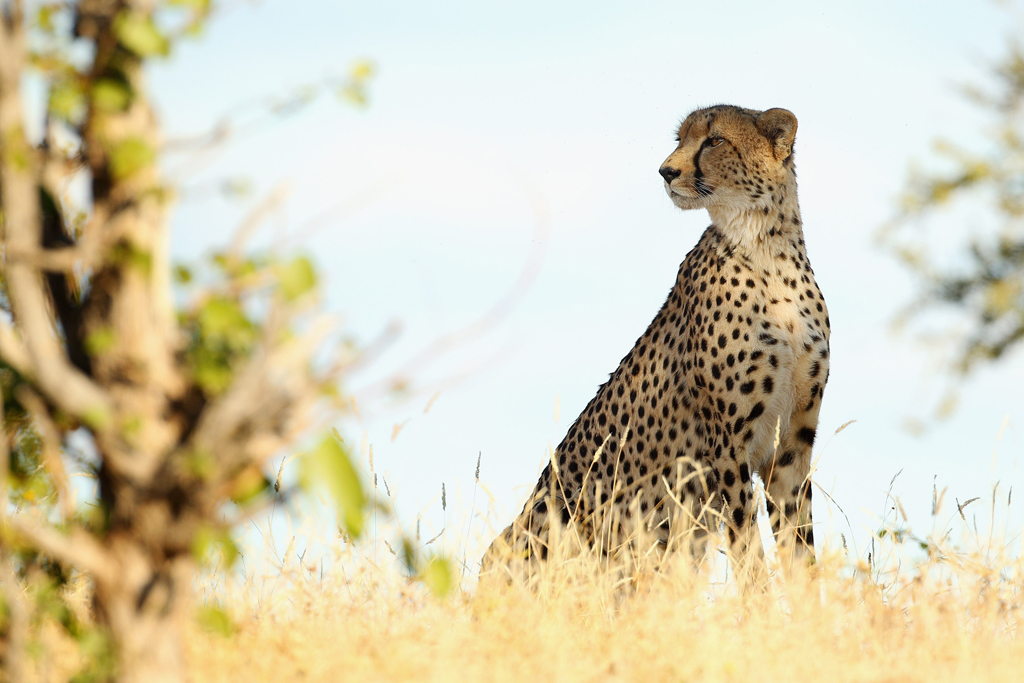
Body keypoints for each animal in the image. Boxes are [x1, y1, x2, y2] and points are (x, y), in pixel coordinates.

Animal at [481, 104, 830, 579]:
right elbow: (746, 542)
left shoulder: (792, 440)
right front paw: (759, 597)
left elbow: (800, 544)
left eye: (714, 141)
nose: (666, 171)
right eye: (680, 139)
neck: (765, 251)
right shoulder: (727, 444)